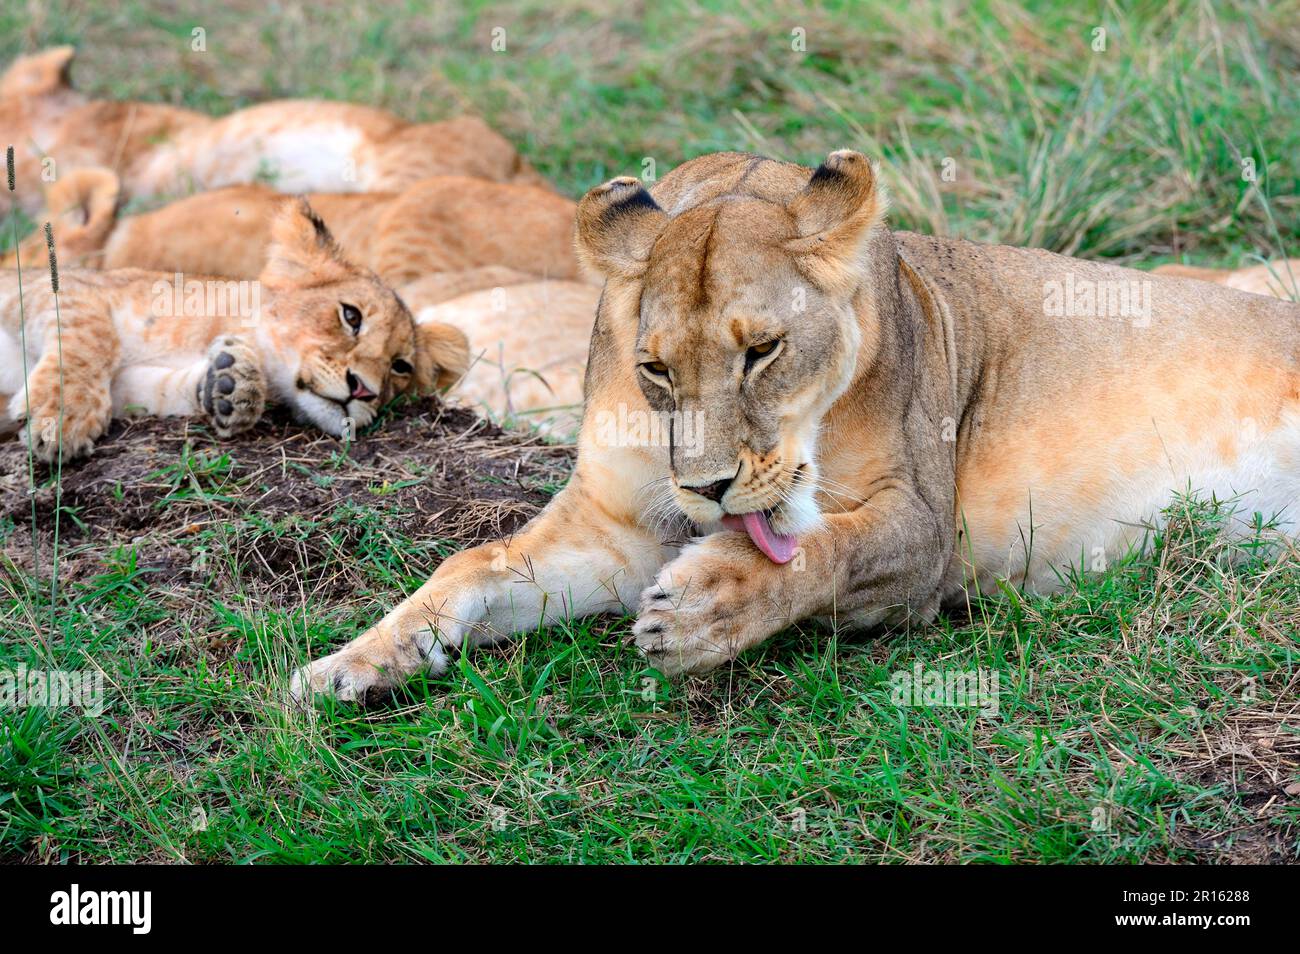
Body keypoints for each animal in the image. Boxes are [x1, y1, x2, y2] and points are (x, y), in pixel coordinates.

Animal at [1, 199, 468, 461]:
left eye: (400, 366)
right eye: (351, 316)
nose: (364, 391)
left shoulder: (129, 386)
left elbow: (158, 387)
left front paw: (228, 386)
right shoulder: (50, 285)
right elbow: (92, 337)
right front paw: (62, 419)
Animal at [290, 149, 1300, 702]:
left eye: (763, 351)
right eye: (654, 367)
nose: (706, 489)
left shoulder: (927, 537)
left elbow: (823, 553)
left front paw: (707, 607)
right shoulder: (614, 531)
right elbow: (469, 566)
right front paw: (351, 664)